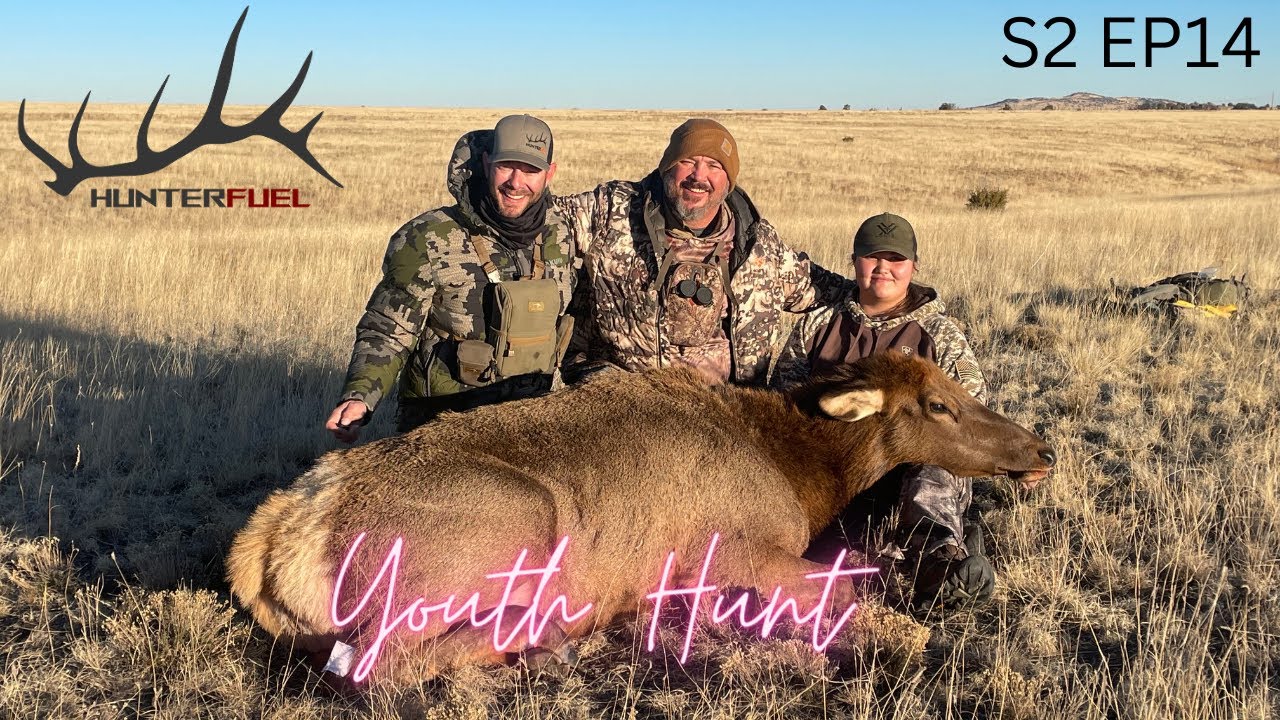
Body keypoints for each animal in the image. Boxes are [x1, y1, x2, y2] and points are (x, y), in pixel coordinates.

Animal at [227, 352, 1055, 683]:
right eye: (939, 404)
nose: (1040, 448)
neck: (797, 468)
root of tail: (272, 545)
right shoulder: (728, 551)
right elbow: (849, 588)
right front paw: (924, 641)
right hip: (499, 533)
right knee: (369, 664)